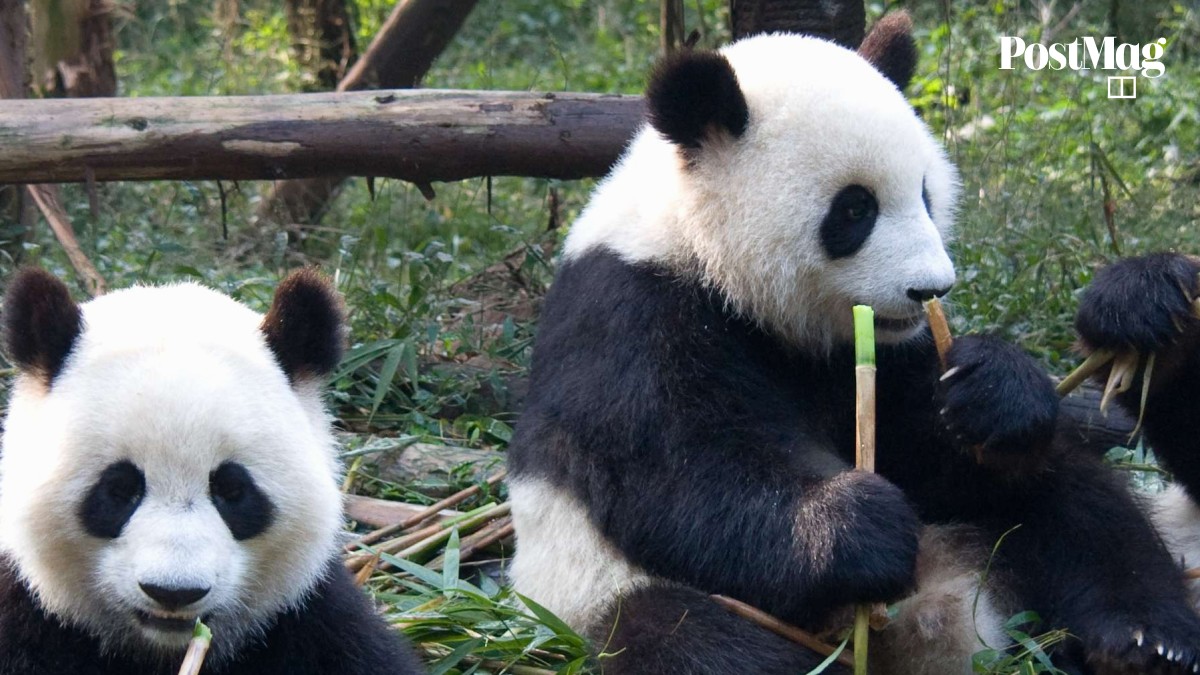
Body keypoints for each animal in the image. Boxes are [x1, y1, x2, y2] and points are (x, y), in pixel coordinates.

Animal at [507, 13, 1200, 675]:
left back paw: (1145, 639)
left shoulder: (879, 357)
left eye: (926, 194)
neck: (702, 251)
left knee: (1076, 508)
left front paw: (994, 392)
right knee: (692, 640)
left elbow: (931, 444)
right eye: (854, 209)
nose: (930, 289)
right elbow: (681, 470)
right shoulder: (630, 316)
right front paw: (858, 527)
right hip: (599, 592)